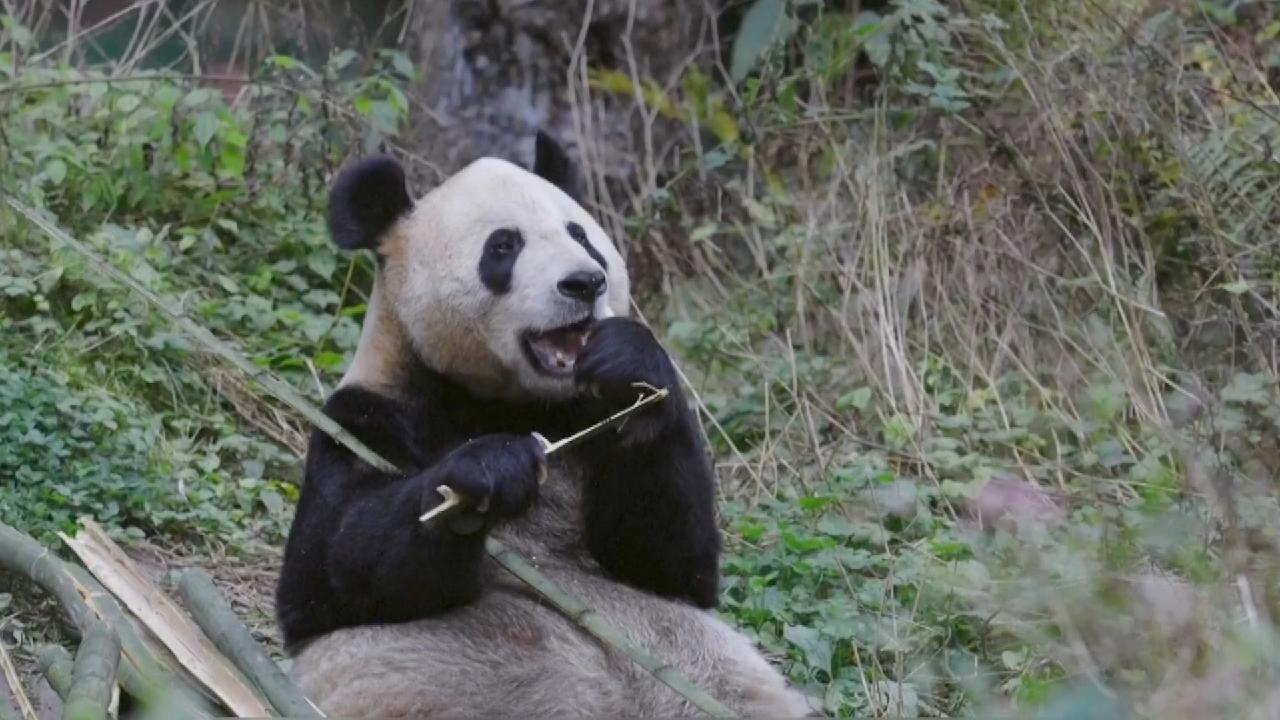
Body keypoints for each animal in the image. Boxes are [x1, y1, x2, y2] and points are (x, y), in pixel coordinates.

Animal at [275, 133, 816, 718]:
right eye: (503, 247)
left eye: (581, 235)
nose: (585, 282)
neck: (515, 402)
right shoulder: (368, 415)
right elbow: (323, 578)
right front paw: (488, 473)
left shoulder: (588, 412)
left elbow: (670, 567)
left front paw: (631, 364)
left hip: (712, 672)